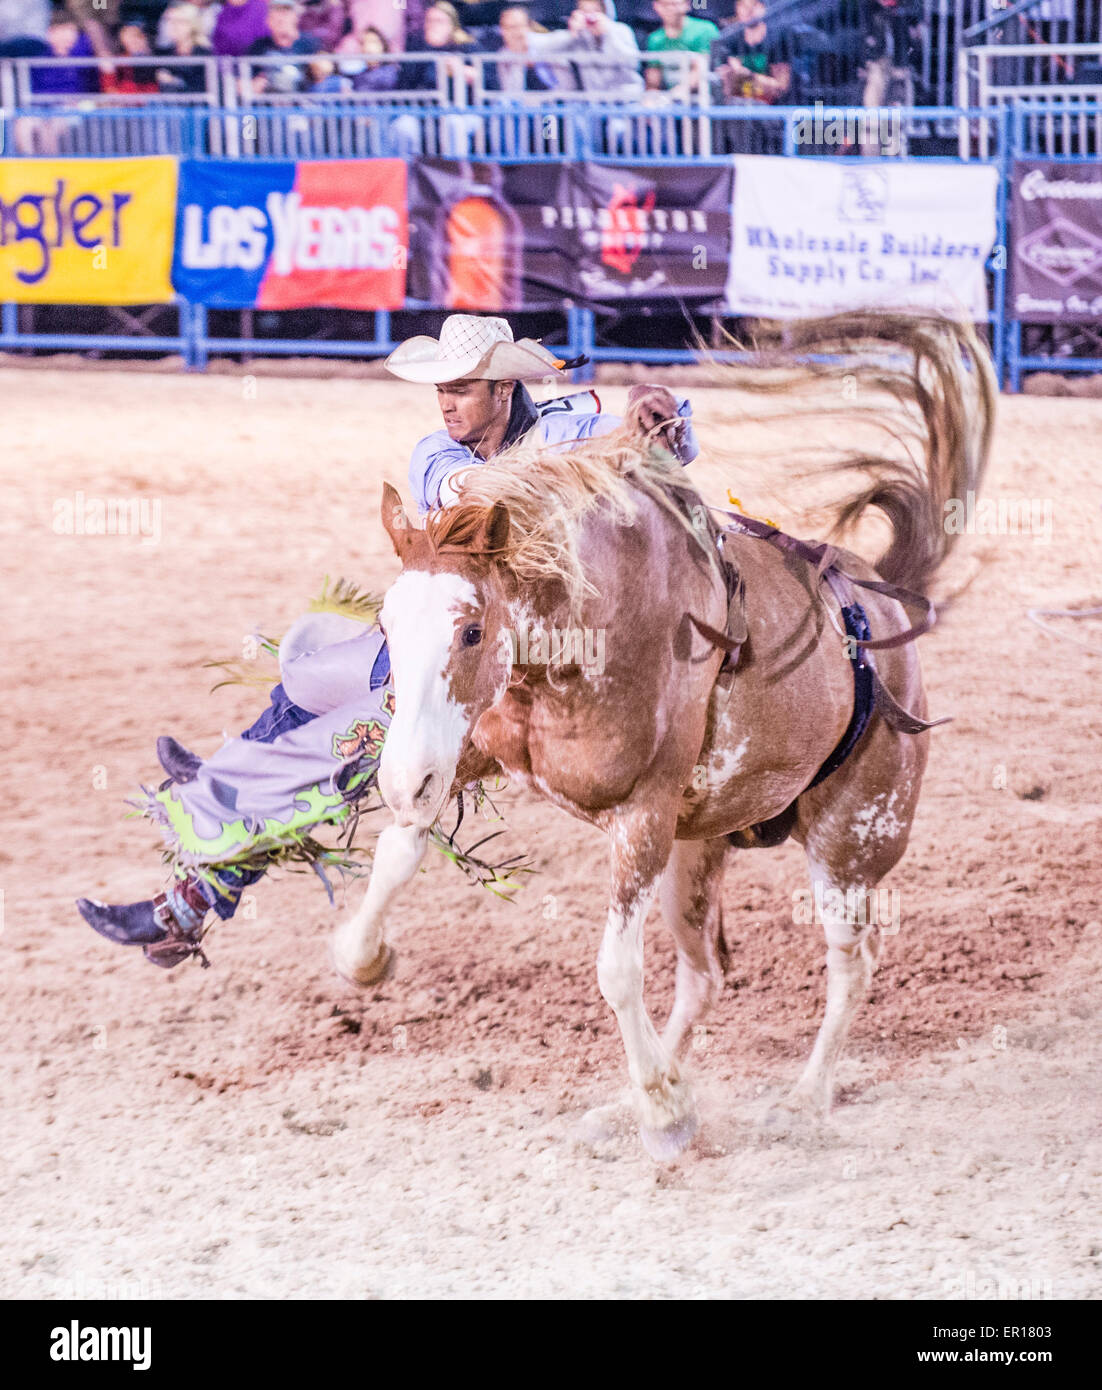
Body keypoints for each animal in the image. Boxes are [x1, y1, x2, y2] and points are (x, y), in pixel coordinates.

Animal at [332, 313, 996, 1159]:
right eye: (387, 623)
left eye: (473, 629)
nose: (397, 778)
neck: (590, 618)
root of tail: (880, 600)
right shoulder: (470, 748)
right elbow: (398, 849)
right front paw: (364, 957)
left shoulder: (641, 817)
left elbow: (617, 970)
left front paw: (667, 1117)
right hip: (699, 849)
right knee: (705, 976)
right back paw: (637, 1100)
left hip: (853, 840)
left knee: (852, 965)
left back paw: (801, 1099)